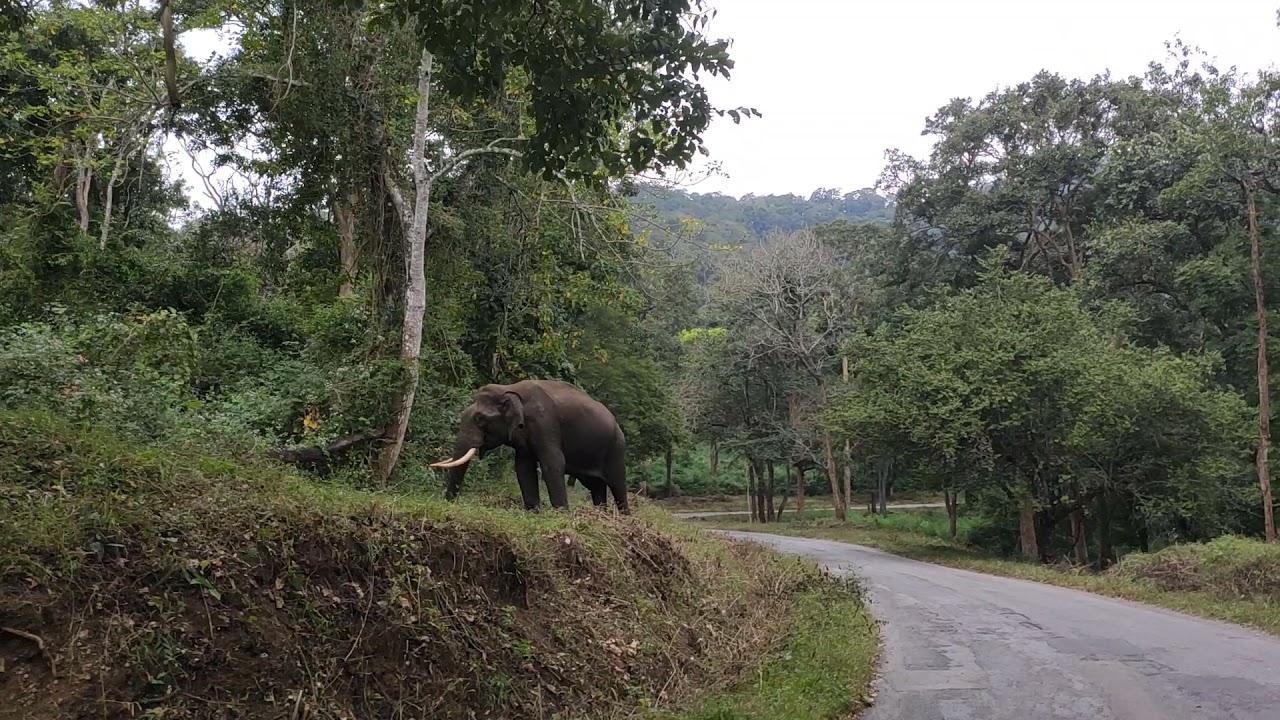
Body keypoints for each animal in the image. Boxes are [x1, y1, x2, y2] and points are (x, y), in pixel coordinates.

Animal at [431, 379, 630, 514]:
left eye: (480, 419)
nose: (448, 504)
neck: (509, 388)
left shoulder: (545, 423)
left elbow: (553, 464)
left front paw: (562, 515)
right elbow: (523, 468)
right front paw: (534, 512)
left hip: (616, 448)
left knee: (617, 485)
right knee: (596, 486)